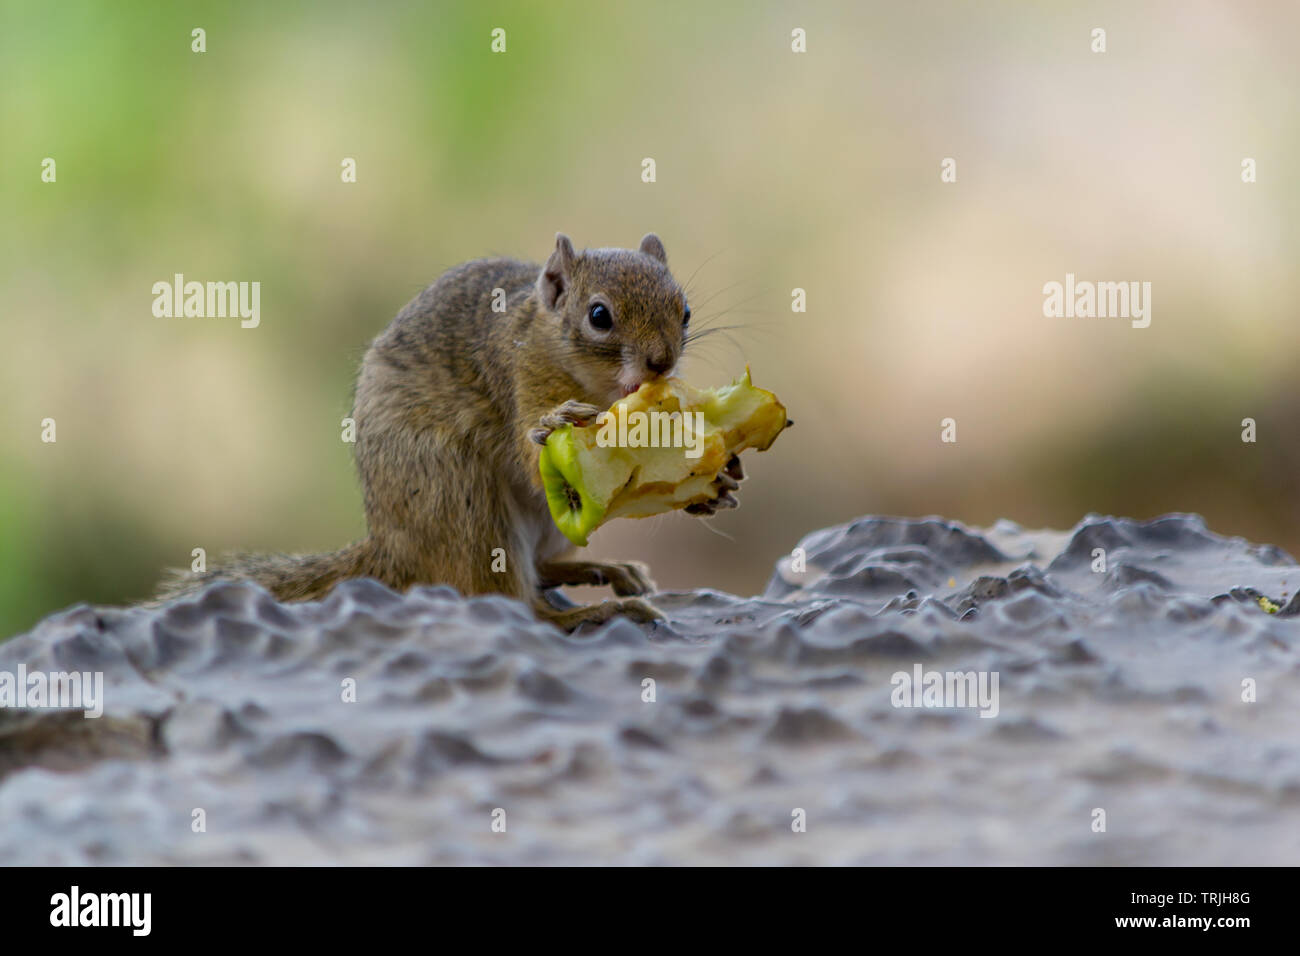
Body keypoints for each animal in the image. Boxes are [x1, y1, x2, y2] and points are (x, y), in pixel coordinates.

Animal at [156, 233, 747, 629]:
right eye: (599, 316)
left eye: (684, 310)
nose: (661, 362)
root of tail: (392, 546)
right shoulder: (516, 379)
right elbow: (533, 460)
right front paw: (555, 425)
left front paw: (719, 482)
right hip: (463, 501)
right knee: (511, 599)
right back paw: (591, 612)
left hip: (544, 526)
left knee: (540, 567)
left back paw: (605, 568)